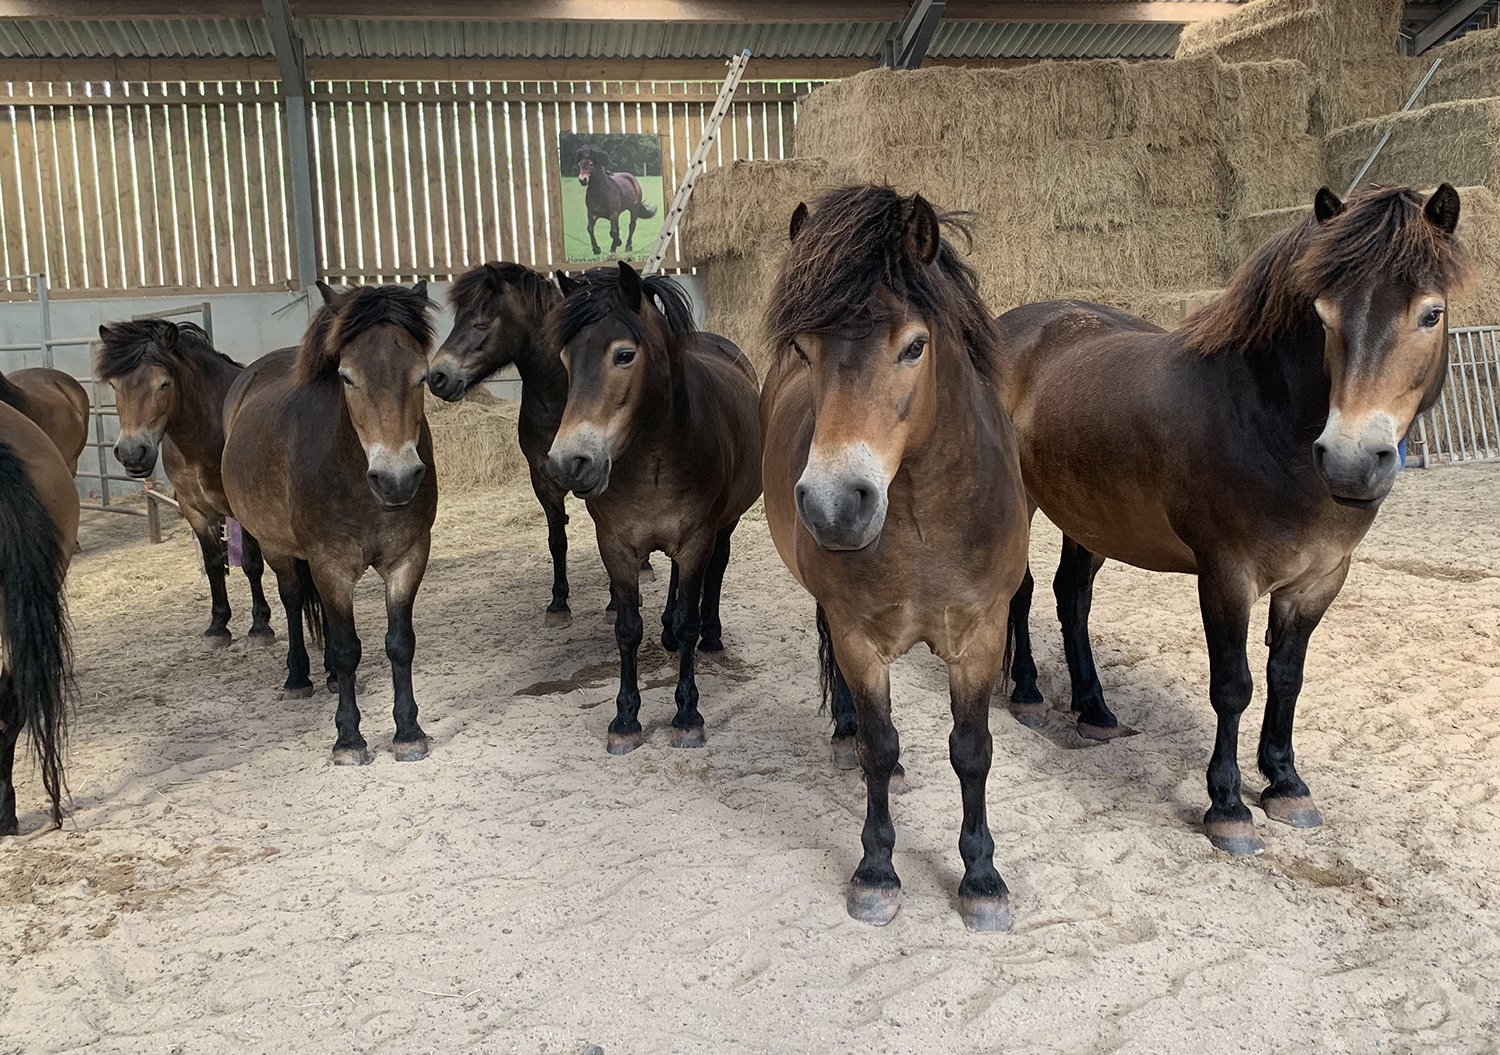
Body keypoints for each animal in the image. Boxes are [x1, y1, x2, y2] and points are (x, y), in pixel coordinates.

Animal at [95, 320, 275, 648]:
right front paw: (218, 626)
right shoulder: (195, 511)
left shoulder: (241, 511)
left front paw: (260, 626)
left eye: (164, 384)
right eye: (115, 385)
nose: (132, 453)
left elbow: (252, 562)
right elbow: (213, 564)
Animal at [222, 282, 438, 764]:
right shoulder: (330, 565)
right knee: (292, 600)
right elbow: (344, 647)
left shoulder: (409, 557)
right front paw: (349, 739)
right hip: (277, 549)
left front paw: (408, 732)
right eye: (347, 377)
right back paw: (298, 677)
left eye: (422, 375)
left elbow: (400, 643)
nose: (396, 480)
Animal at [546, 262, 760, 754]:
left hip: (724, 526)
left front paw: (687, 715)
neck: (654, 460)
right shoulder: (616, 547)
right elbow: (627, 628)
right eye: (566, 359)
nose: (569, 462)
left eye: (624, 355)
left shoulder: (697, 537)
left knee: (713, 577)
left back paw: (711, 635)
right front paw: (625, 719)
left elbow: (687, 620)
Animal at [760, 186, 1030, 931]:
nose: (833, 504)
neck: (920, 527)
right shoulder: (858, 635)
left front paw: (982, 878)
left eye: (914, 345)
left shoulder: (981, 635)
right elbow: (880, 748)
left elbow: (972, 750)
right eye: (805, 349)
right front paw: (876, 871)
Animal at [999, 183, 1468, 857]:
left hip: (1087, 515)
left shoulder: (1319, 581)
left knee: (1072, 597)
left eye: (1431, 314)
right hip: (1024, 502)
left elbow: (1287, 677)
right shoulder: (1226, 576)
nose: (1351, 460)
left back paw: (1094, 710)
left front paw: (1285, 783)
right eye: (1323, 317)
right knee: (1023, 590)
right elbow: (1233, 685)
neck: (1264, 420)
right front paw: (1227, 806)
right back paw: (1029, 694)